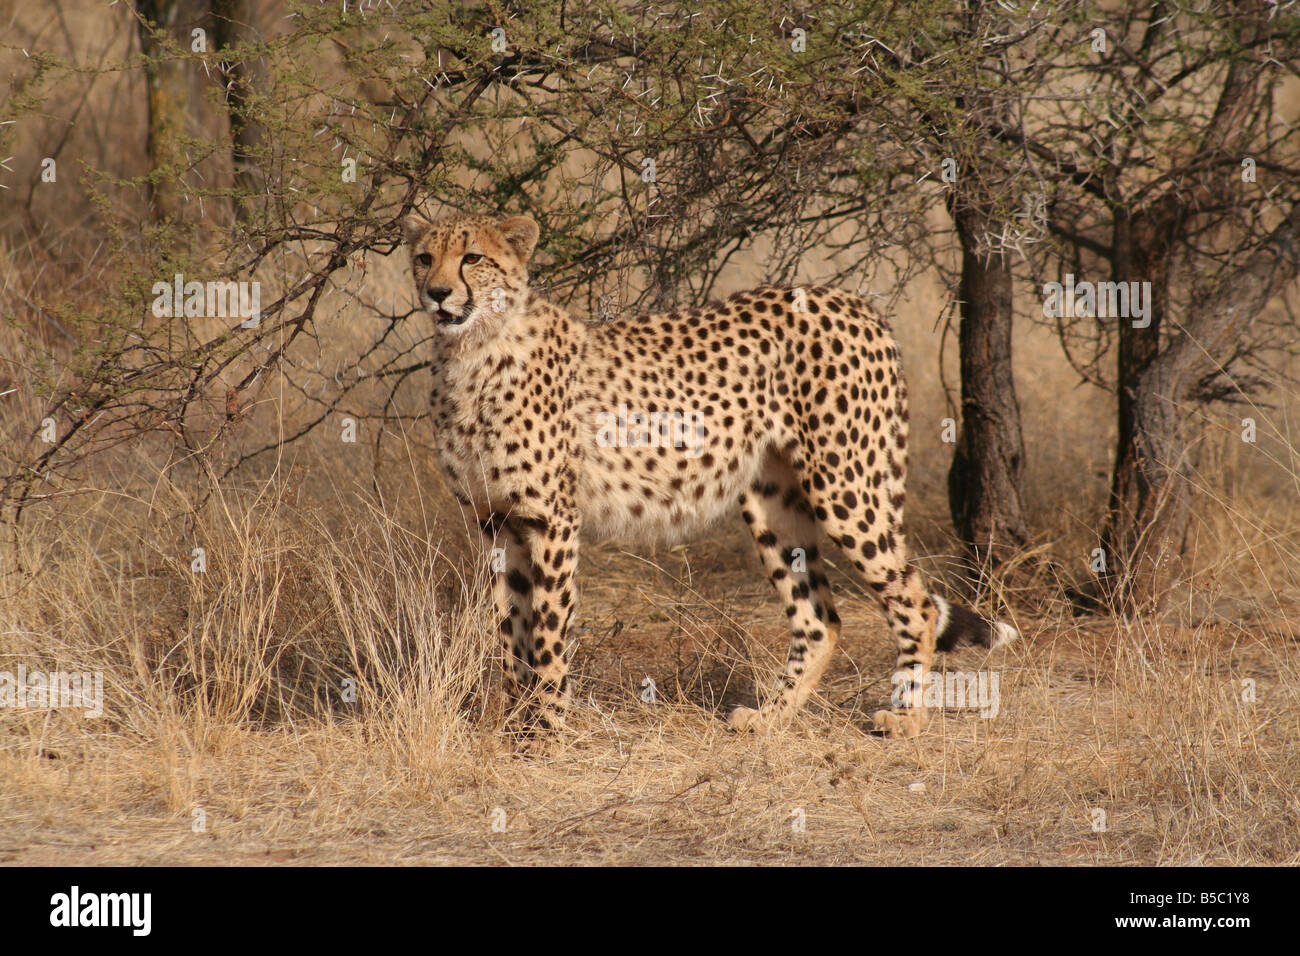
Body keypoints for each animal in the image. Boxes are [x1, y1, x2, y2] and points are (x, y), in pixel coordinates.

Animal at [401, 210, 1018, 740]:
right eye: (425, 257)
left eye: (473, 257)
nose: (437, 292)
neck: (471, 352)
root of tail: (849, 299)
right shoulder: (496, 524)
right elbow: (510, 636)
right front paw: (515, 728)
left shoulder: (550, 522)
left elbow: (547, 638)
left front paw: (548, 733)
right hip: (773, 503)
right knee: (819, 618)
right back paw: (770, 718)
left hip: (849, 487)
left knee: (913, 599)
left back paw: (906, 717)